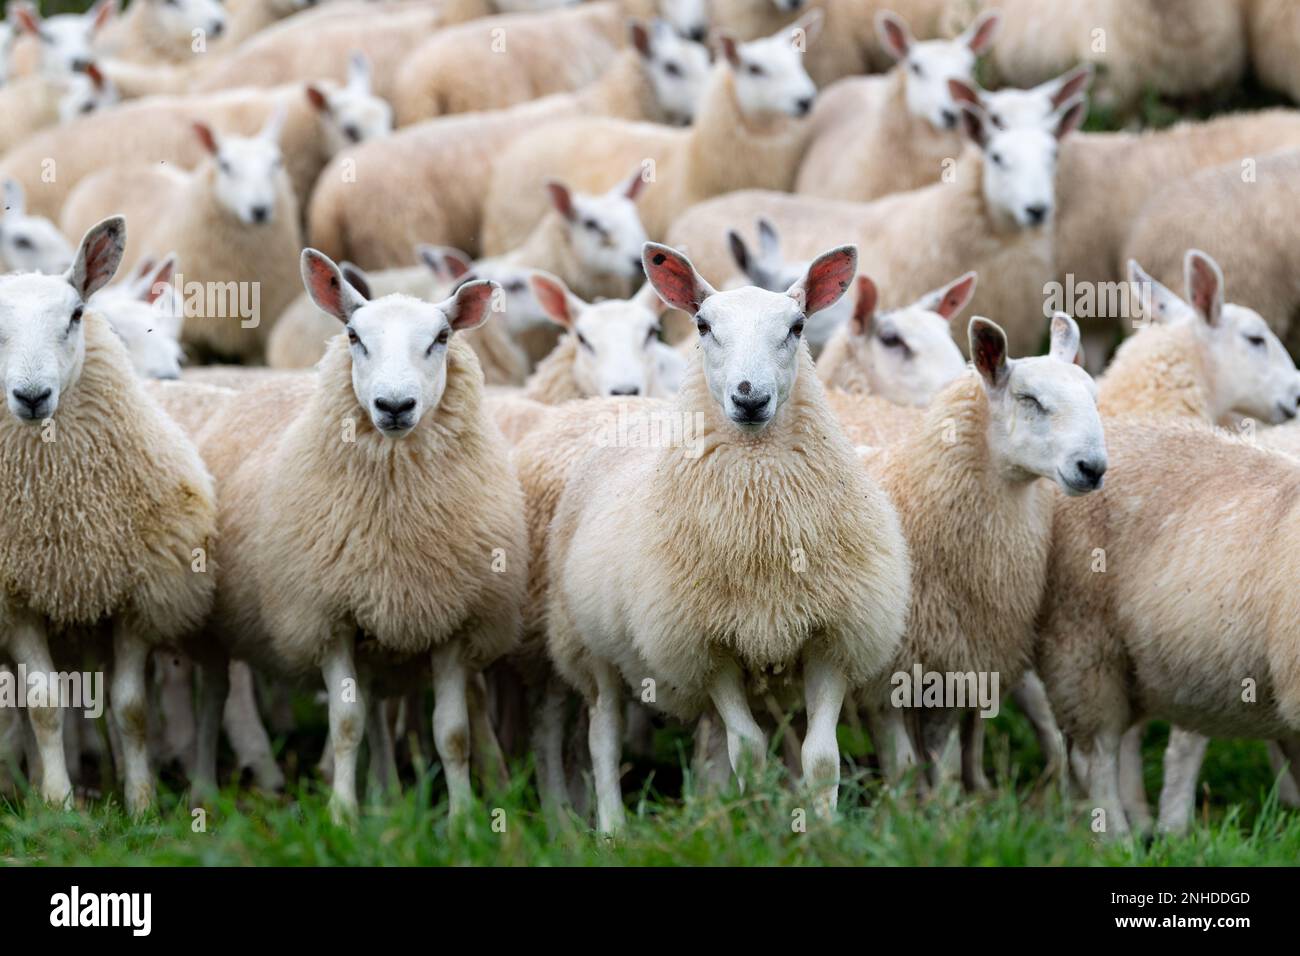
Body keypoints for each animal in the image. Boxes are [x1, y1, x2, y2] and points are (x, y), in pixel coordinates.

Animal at [0, 216, 217, 814]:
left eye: (77, 315)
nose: (32, 395)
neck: (64, 505)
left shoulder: (135, 595)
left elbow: (131, 707)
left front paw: (142, 803)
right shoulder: (17, 602)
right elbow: (43, 703)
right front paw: (57, 804)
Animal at [60, 116, 302, 364]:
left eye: (277, 162)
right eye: (224, 165)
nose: (260, 210)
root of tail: (118, 167)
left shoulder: (255, 346)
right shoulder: (194, 341)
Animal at [186, 249, 525, 819]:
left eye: (441, 337)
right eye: (353, 336)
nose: (394, 406)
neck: (396, 519)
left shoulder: (452, 621)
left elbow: (450, 731)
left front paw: (463, 817)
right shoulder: (328, 618)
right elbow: (346, 723)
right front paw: (342, 814)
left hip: (382, 633)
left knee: (380, 708)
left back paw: (388, 798)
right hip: (215, 628)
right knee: (213, 695)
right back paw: (204, 789)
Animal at [514, 242, 910, 830]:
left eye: (796, 326)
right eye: (702, 325)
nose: (750, 397)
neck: (763, 522)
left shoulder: (831, 637)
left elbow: (820, 758)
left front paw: (820, 831)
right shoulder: (707, 646)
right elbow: (746, 749)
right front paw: (756, 825)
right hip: (589, 646)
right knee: (603, 738)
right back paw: (611, 829)